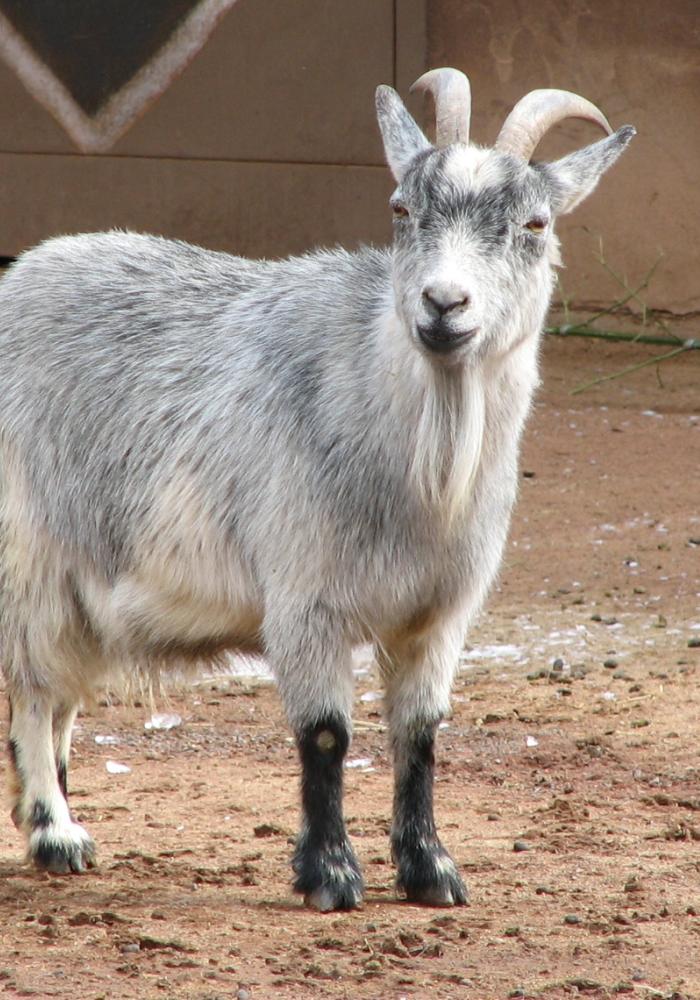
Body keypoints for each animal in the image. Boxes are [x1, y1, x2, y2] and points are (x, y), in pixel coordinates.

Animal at [0, 68, 634, 910]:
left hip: (87, 579)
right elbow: (327, 734)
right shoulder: (307, 599)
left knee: (62, 689)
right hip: (30, 553)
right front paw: (331, 877)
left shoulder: (439, 615)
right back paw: (54, 831)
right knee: (35, 690)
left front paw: (431, 871)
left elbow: (420, 734)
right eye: (402, 210)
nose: (444, 304)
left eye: (534, 222)